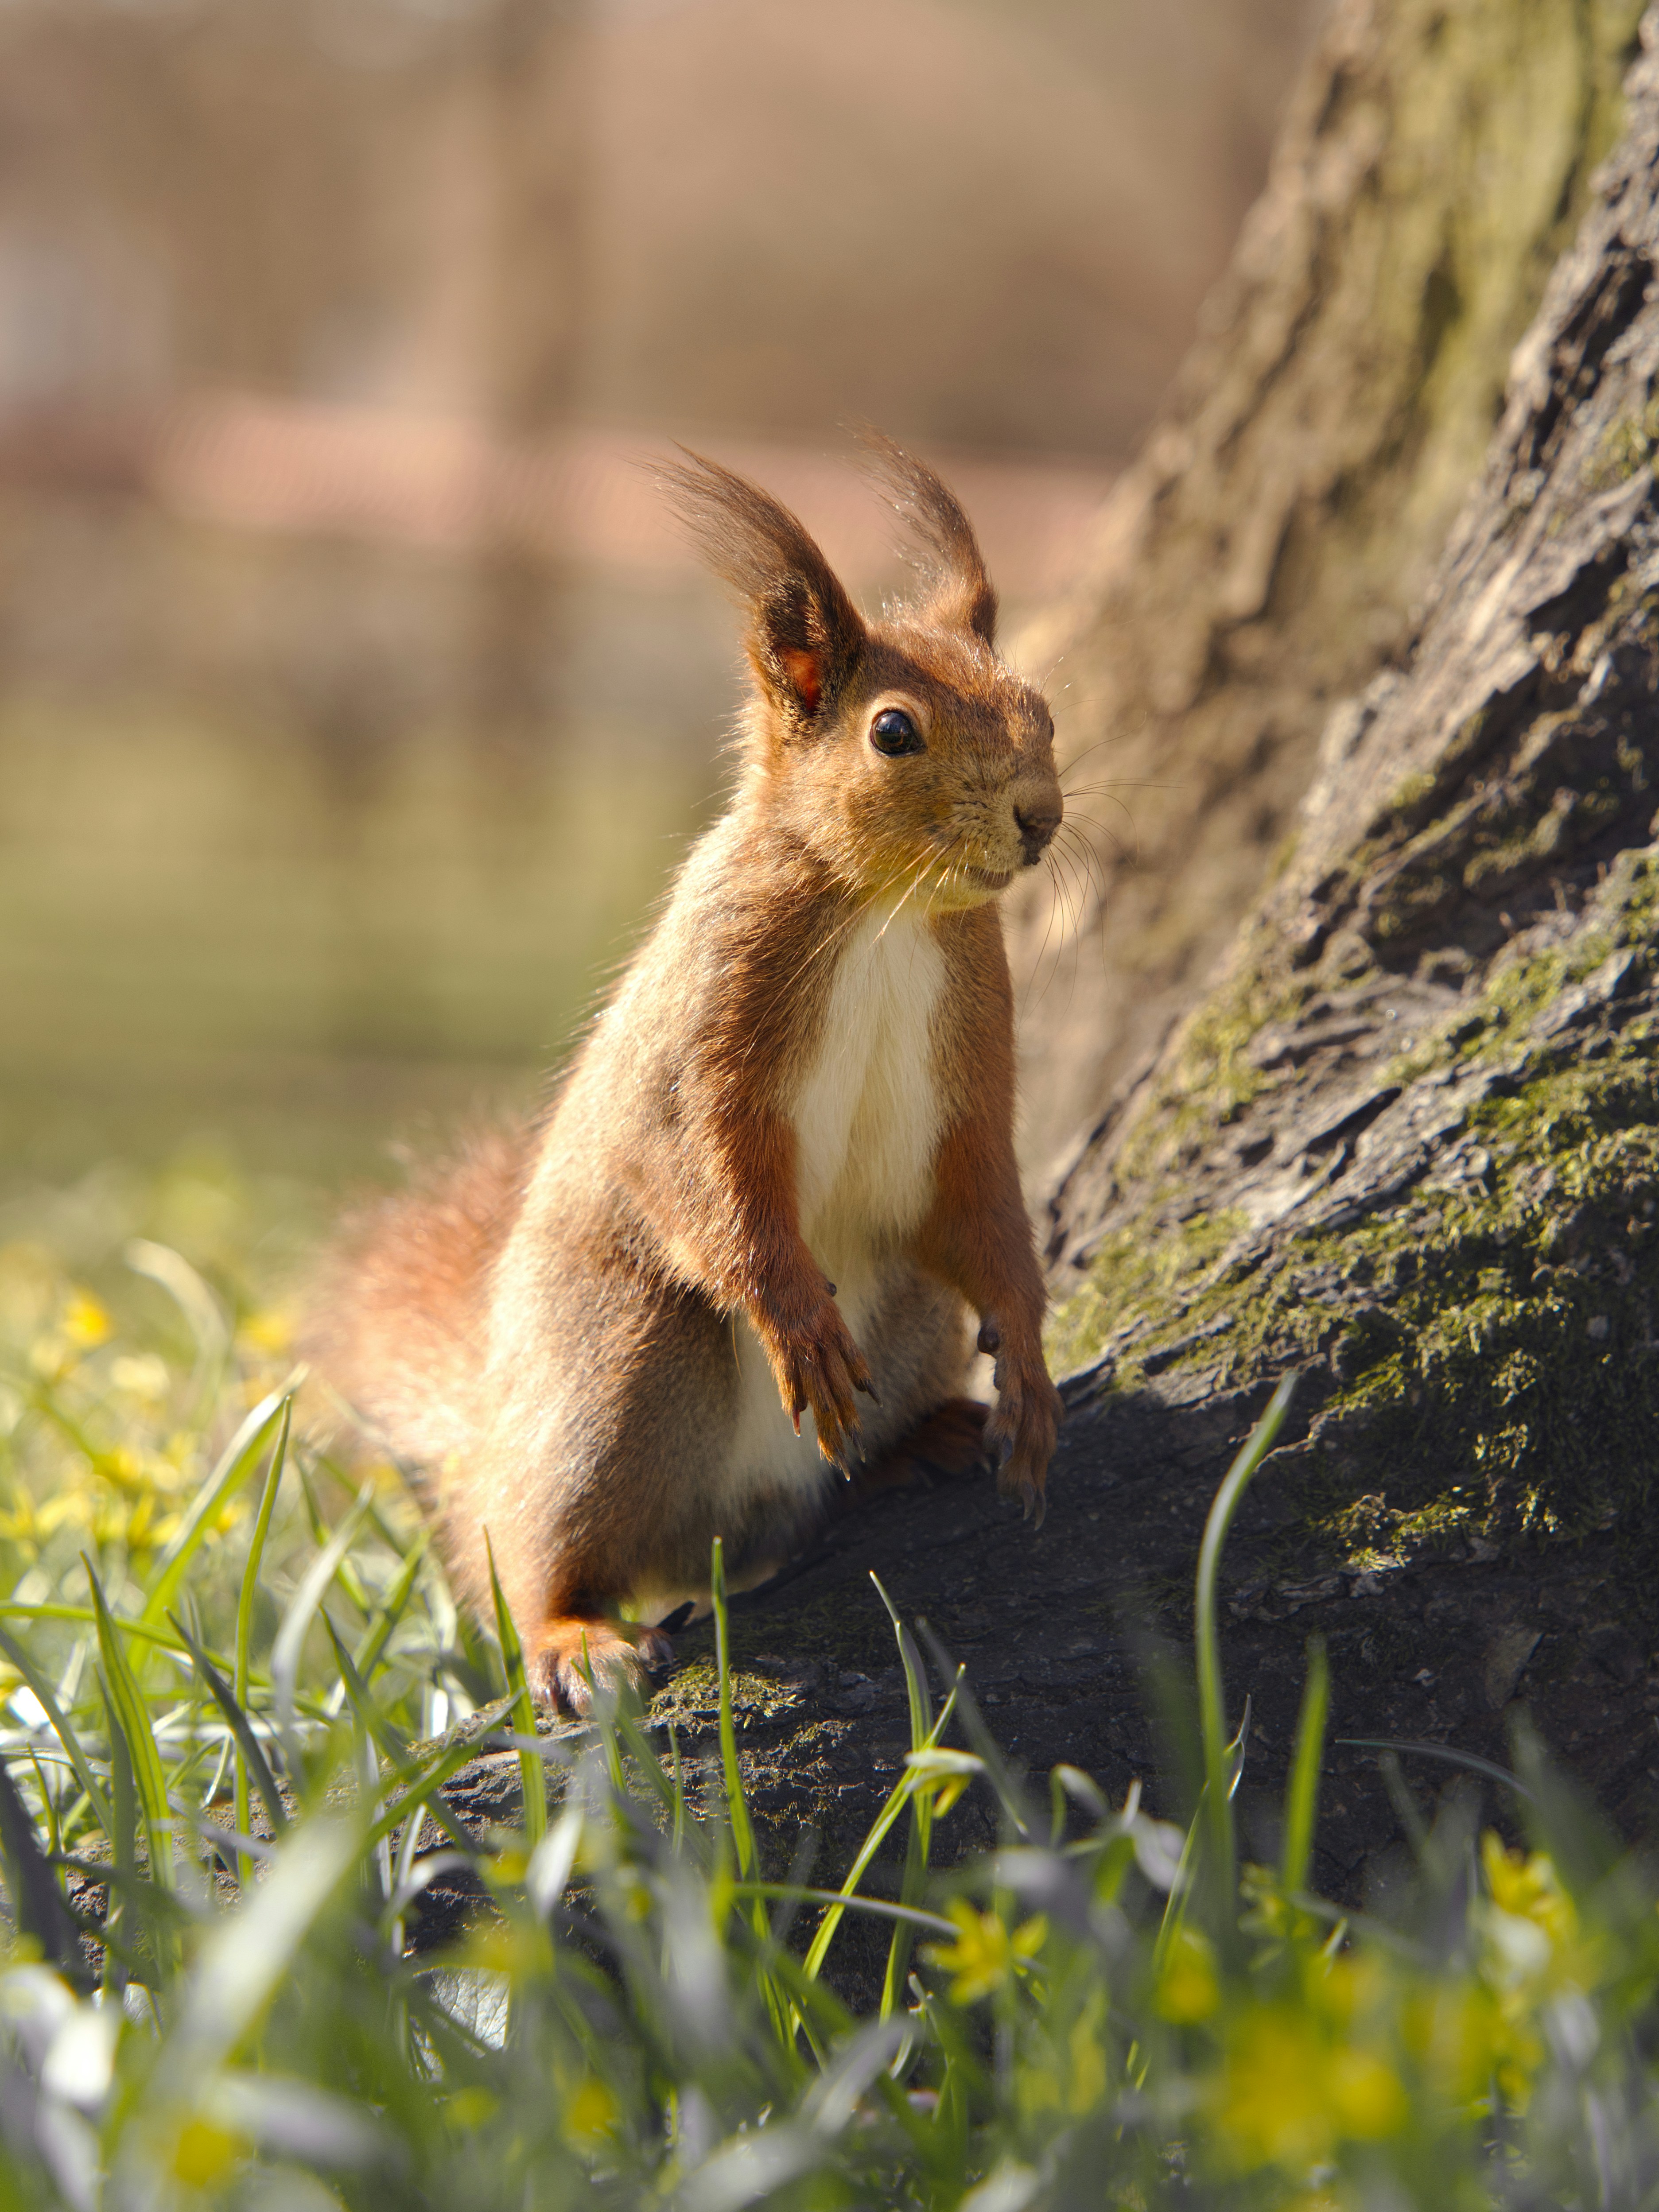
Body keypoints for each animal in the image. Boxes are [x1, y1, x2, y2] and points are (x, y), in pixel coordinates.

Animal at [303, 432, 1065, 1712]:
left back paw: (922, 1439)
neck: (888, 914)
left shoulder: (975, 1078)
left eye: (1042, 710)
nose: (1040, 817)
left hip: (906, 1315)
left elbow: (987, 1209)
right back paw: (573, 1633)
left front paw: (1030, 1364)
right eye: (894, 732)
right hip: (622, 1370)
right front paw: (796, 1317)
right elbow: (710, 1181)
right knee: (534, 1558)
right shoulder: (703, 1038)